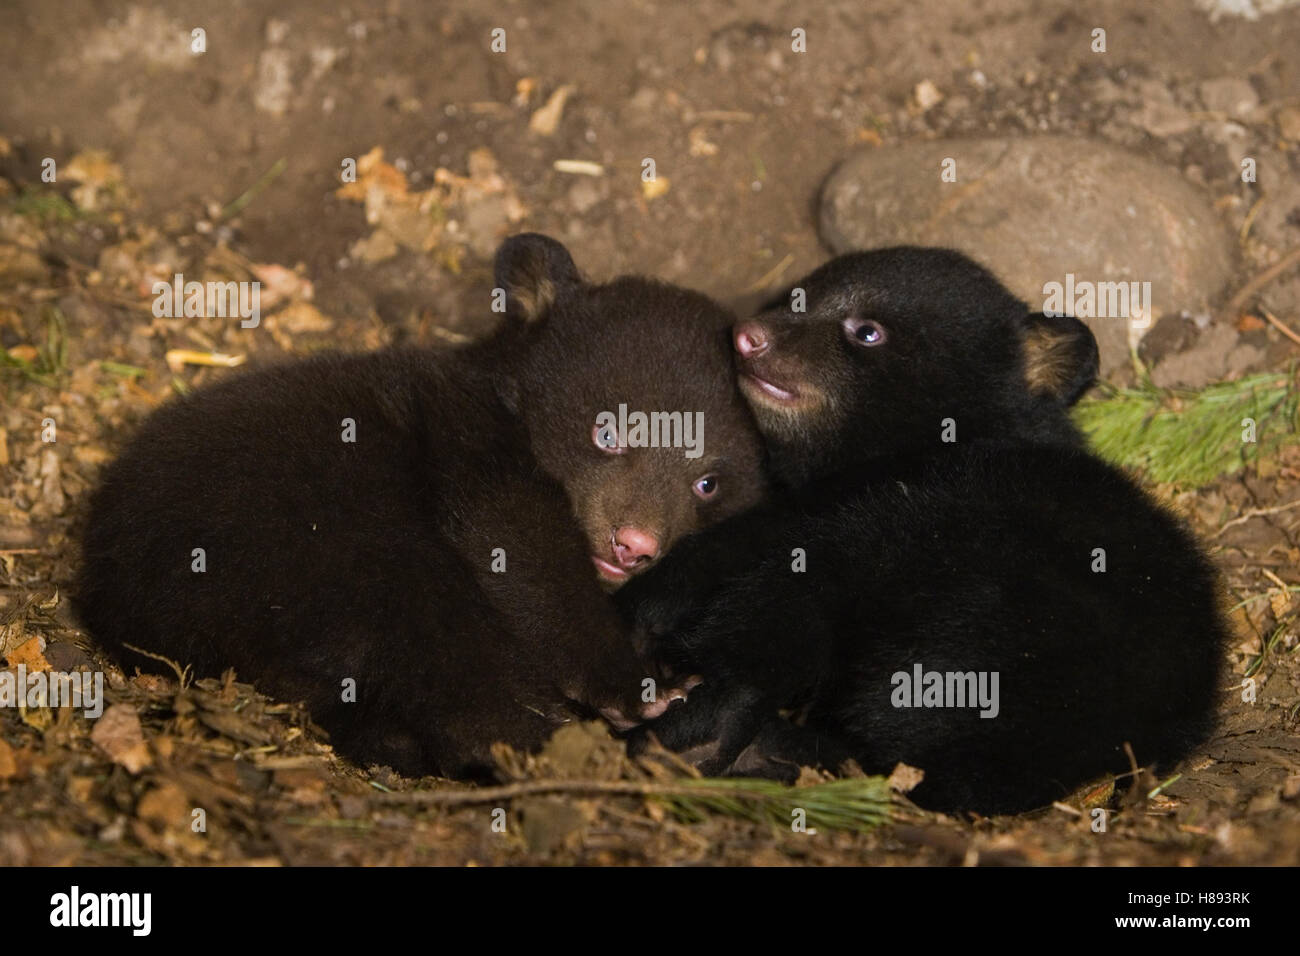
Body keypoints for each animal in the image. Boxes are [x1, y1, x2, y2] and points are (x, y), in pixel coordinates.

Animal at [76, 234, 767, 779]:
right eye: (608, 430)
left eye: (708, 484)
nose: (634, 545)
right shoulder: (467, 442)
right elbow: (523, 552)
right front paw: (645, 685)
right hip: (310, 544)